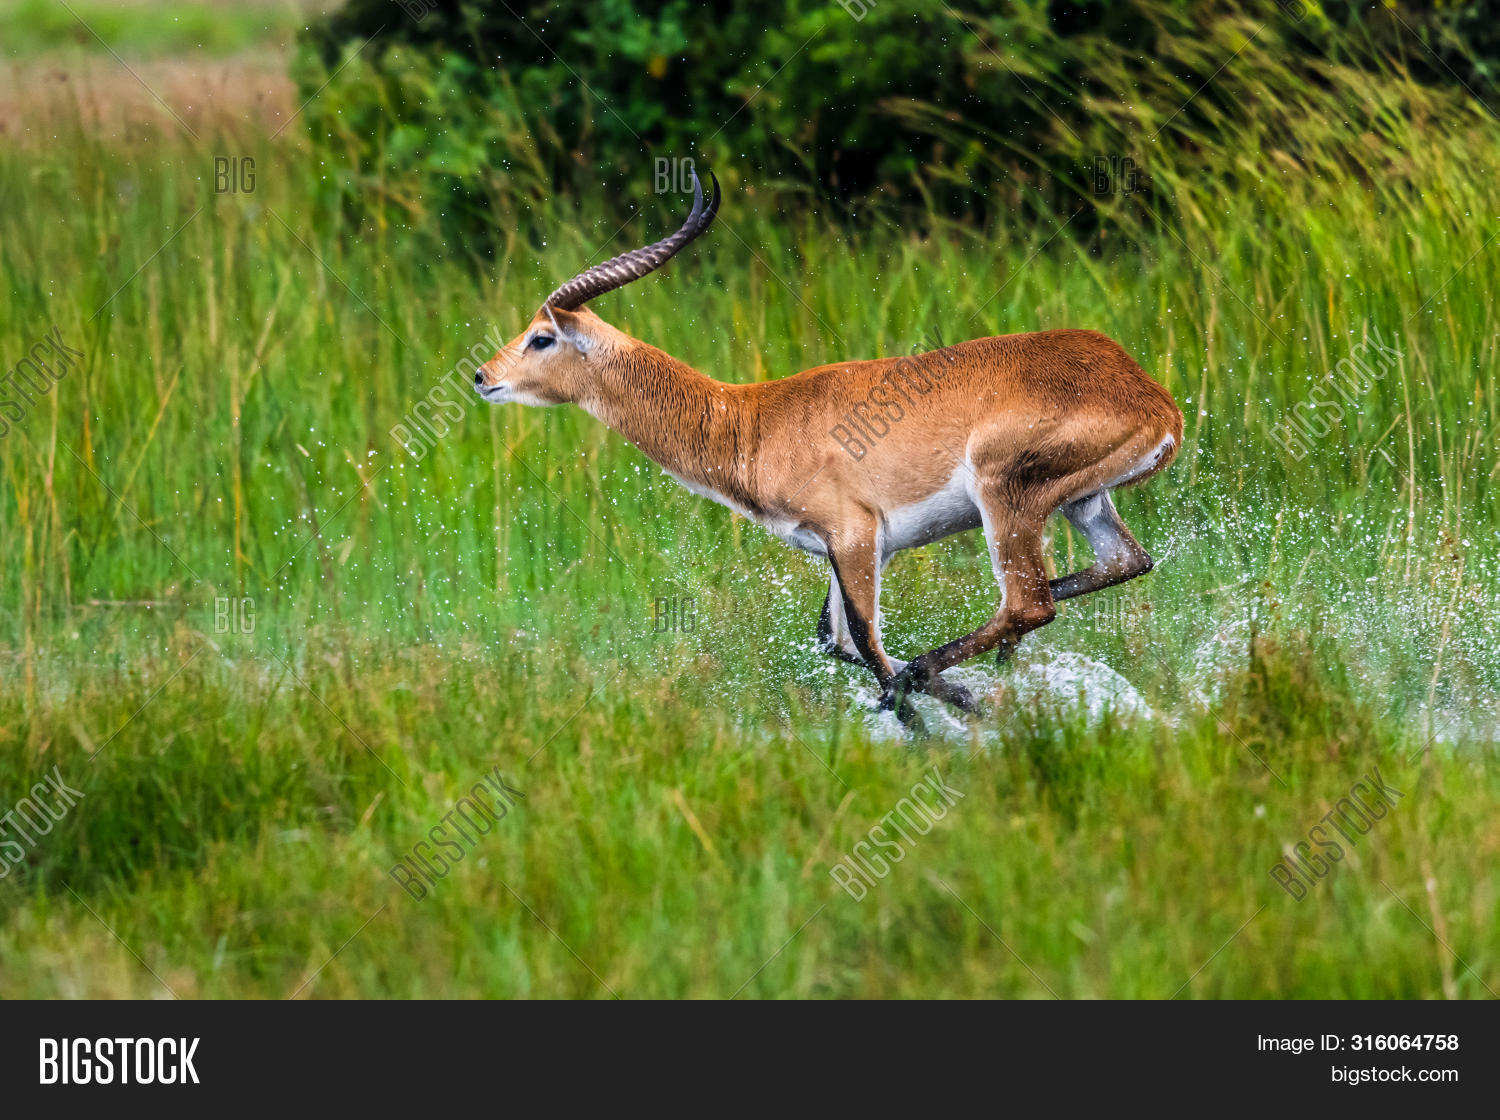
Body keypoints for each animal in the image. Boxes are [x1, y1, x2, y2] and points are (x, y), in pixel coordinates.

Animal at [476, 170, 1183, 728]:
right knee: (1124, 564)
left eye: (542, 337)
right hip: (1083, 502)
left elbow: (868, 644)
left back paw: (943, 675)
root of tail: (1155, 400)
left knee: (1027, 604)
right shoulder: (858, 550)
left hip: (1004, 499)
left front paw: (937, 714)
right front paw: (954, 703)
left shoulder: (855, 535)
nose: (482, 376)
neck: (751, 421)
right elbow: (837, 642)